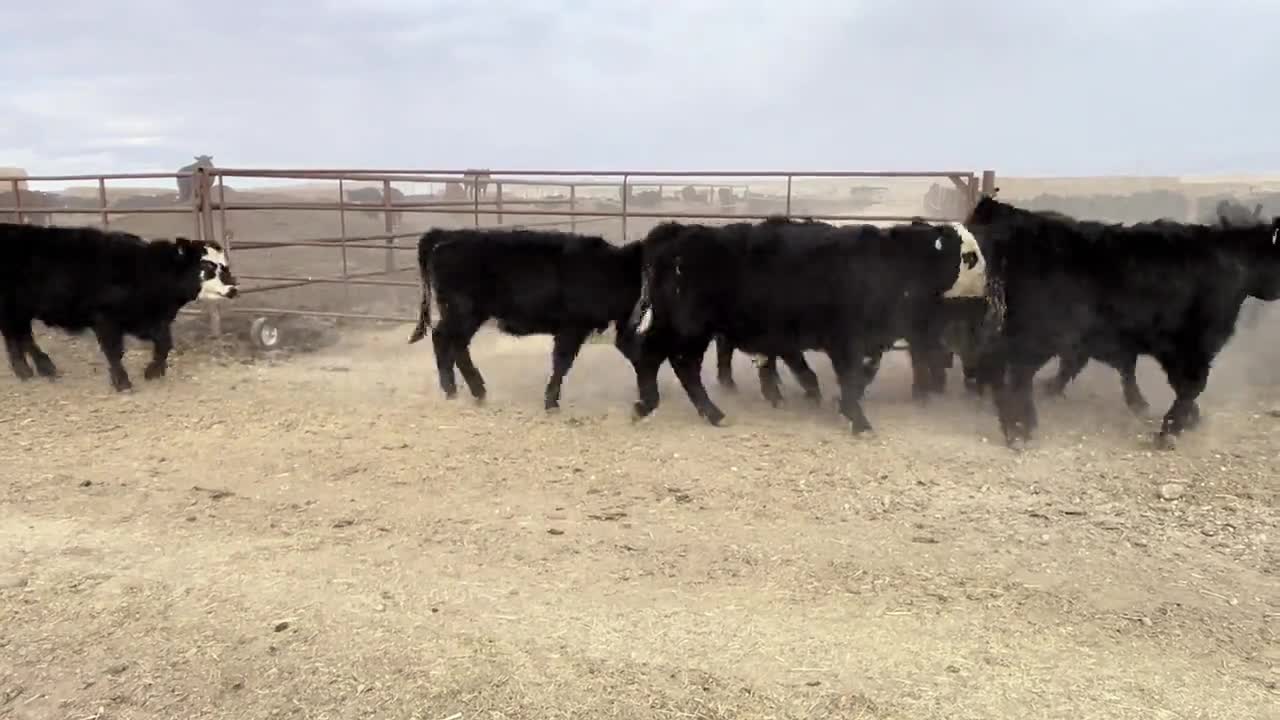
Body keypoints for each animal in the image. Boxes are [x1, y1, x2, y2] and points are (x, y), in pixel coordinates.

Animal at [0, 222, 239, 392]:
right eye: (207, 265)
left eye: (226, 266)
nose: (233, 289)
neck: (146, 271)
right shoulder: (105, 319)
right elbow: (114, 351)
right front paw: (122, 382)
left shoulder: (152, 320)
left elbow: (164, 344)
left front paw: (153, 371)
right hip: (14, 307)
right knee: (18, 335)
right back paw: (33, 368)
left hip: (19, 310)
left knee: (19, 335)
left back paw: (35, 369)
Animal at [406, 227, 645, 411]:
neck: (609, 269)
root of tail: (448, 235)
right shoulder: (572, 327)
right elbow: (562, 362)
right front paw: (551, 403)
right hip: (463, 312)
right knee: (446, 340)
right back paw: (468, 391)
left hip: (466, 315)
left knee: (452, 344)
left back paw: (461, 392)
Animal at [625, 215, 988, 432]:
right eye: (969, 256)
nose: (988, 284)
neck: (891, 263)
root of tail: (678, 232)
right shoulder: (846, 342)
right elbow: (850, 377)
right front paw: (858, 419)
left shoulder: (869, 343)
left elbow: (860, 376)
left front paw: (842, 406)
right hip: (689, 328)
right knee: (672, 362)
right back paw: (683, 409)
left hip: (680, 327)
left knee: (664, 360)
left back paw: (677, 408)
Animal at [962, 192, 1280, 449]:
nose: (1275, 292)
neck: (1230, 260)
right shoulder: (1193, 345)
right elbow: (1189, 386)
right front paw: (1170, 430)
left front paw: (1184, 418)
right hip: (1034, 337)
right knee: (1014, 378)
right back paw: (1020, 431)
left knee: (1006, 377)